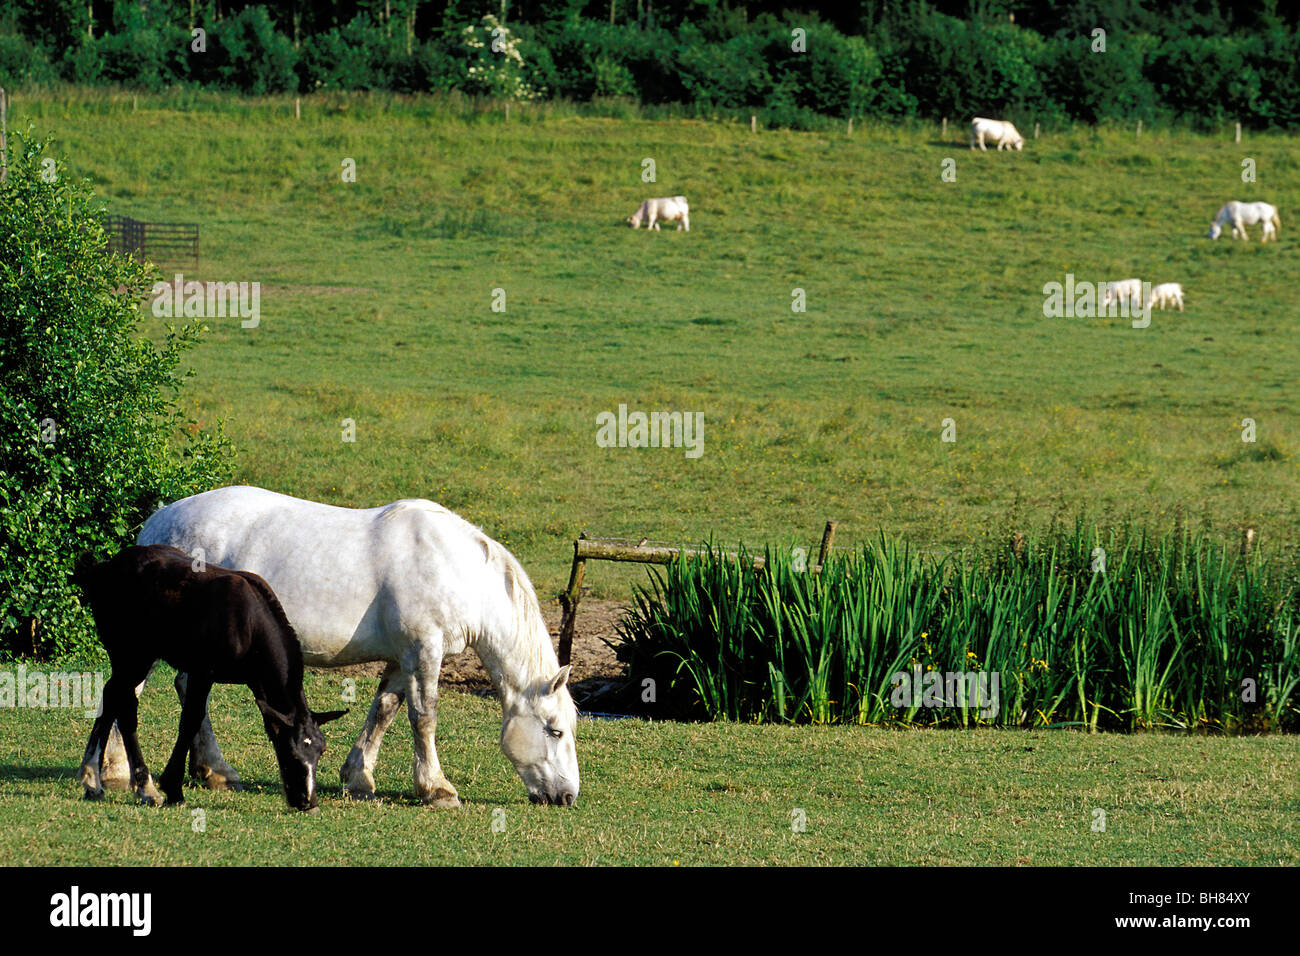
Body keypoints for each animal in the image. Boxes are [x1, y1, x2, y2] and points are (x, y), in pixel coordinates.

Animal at [76, 545, 345, 811]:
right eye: (291, 753)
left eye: (320, 752)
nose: (308, 802)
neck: (248, 622)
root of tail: (103, 569)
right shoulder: (202, 671)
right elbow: (190, 720)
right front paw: (173, 787)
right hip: (133, 656)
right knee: (124, 705)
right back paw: (138, 786)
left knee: (112, 696)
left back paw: (95, 781)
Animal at [125, 486, 580, 807]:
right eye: (554, 730)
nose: (568, 796)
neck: (454, 568)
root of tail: (157, 523)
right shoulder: (424, 652)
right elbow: (424, 718)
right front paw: (436, 789)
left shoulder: (401, 658)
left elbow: (384, 711)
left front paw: (359, 777)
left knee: (188, 691)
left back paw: (213, 771)